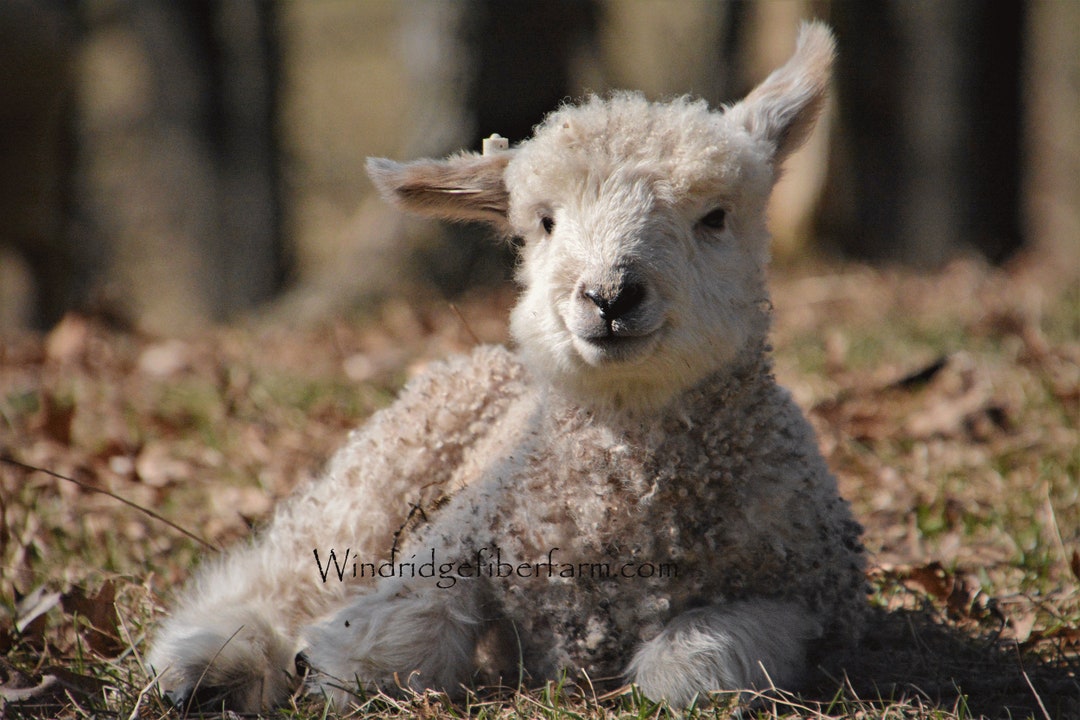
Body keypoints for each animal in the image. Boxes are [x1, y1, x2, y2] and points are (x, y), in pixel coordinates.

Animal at [147, 21, 865, 713]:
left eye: (715, 217)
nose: (609, 297)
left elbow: (692, 668)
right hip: (373, 481)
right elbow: (386, 637)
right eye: (544, 224)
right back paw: (208, 664)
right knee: (277, 573)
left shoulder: (805, 597)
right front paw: (320, 664)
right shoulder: (455, 538)